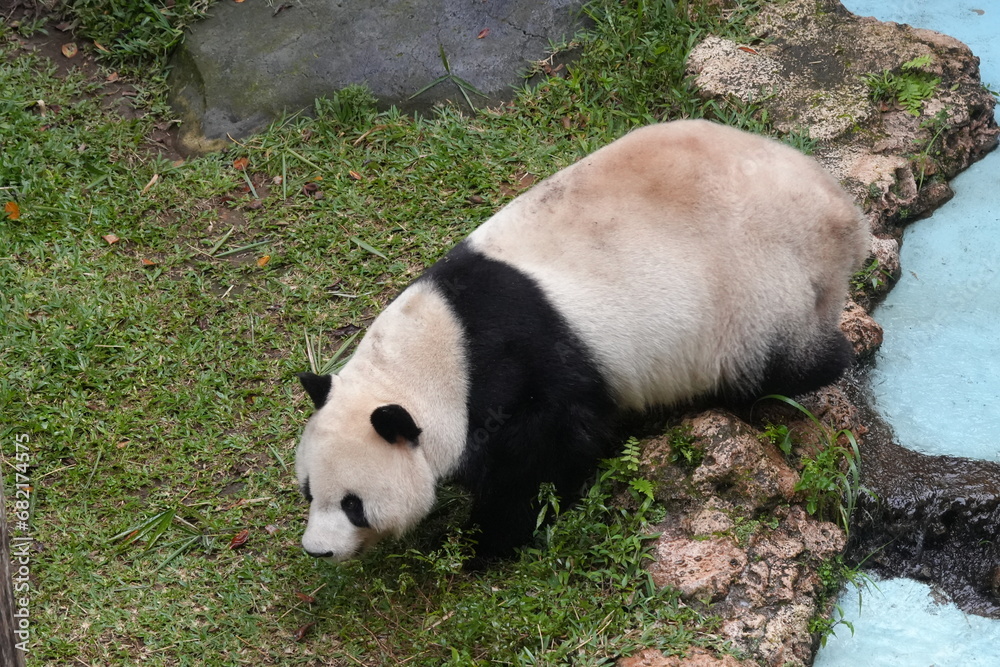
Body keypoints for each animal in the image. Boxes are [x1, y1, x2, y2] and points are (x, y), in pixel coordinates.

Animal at [294, 119, 871, 563]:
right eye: (308, 491)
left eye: (352, 504)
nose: (318, 550)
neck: (441, 350)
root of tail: (842, 214)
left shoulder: (519, 372)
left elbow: (543, 456)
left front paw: (485, 546)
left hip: (753, 286)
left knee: (779, 362)